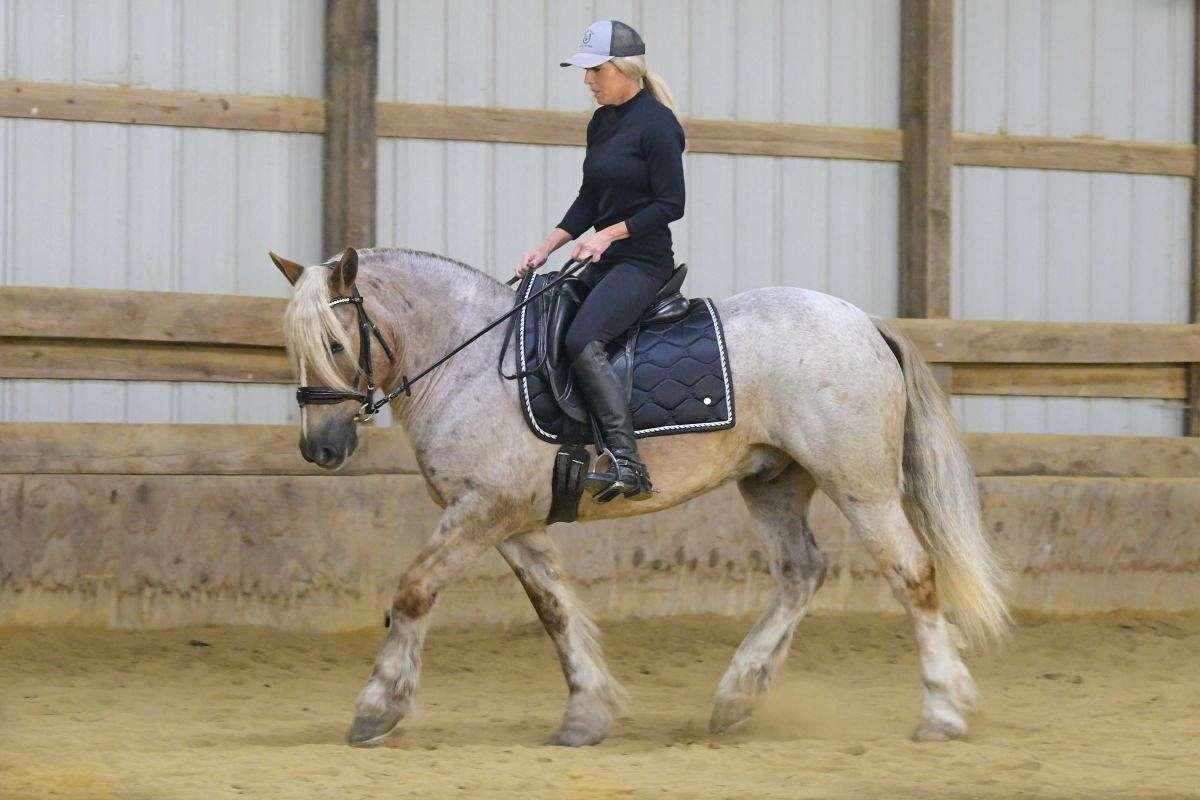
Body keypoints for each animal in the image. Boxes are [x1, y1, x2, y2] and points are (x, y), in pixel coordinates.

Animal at [270, 245, 1009, 748]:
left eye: (335, 343)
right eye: (293, 348)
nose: (321, 449)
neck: (467, 360)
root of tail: (864, 323)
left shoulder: (482, 511)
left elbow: (414, 591)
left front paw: (377, 707)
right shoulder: (508, 520)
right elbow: (554, 611)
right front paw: (586, 713)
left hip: (860, 484)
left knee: (912, 574)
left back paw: (941, 712)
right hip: (772, 481)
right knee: (802, 572)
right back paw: (737, 698)